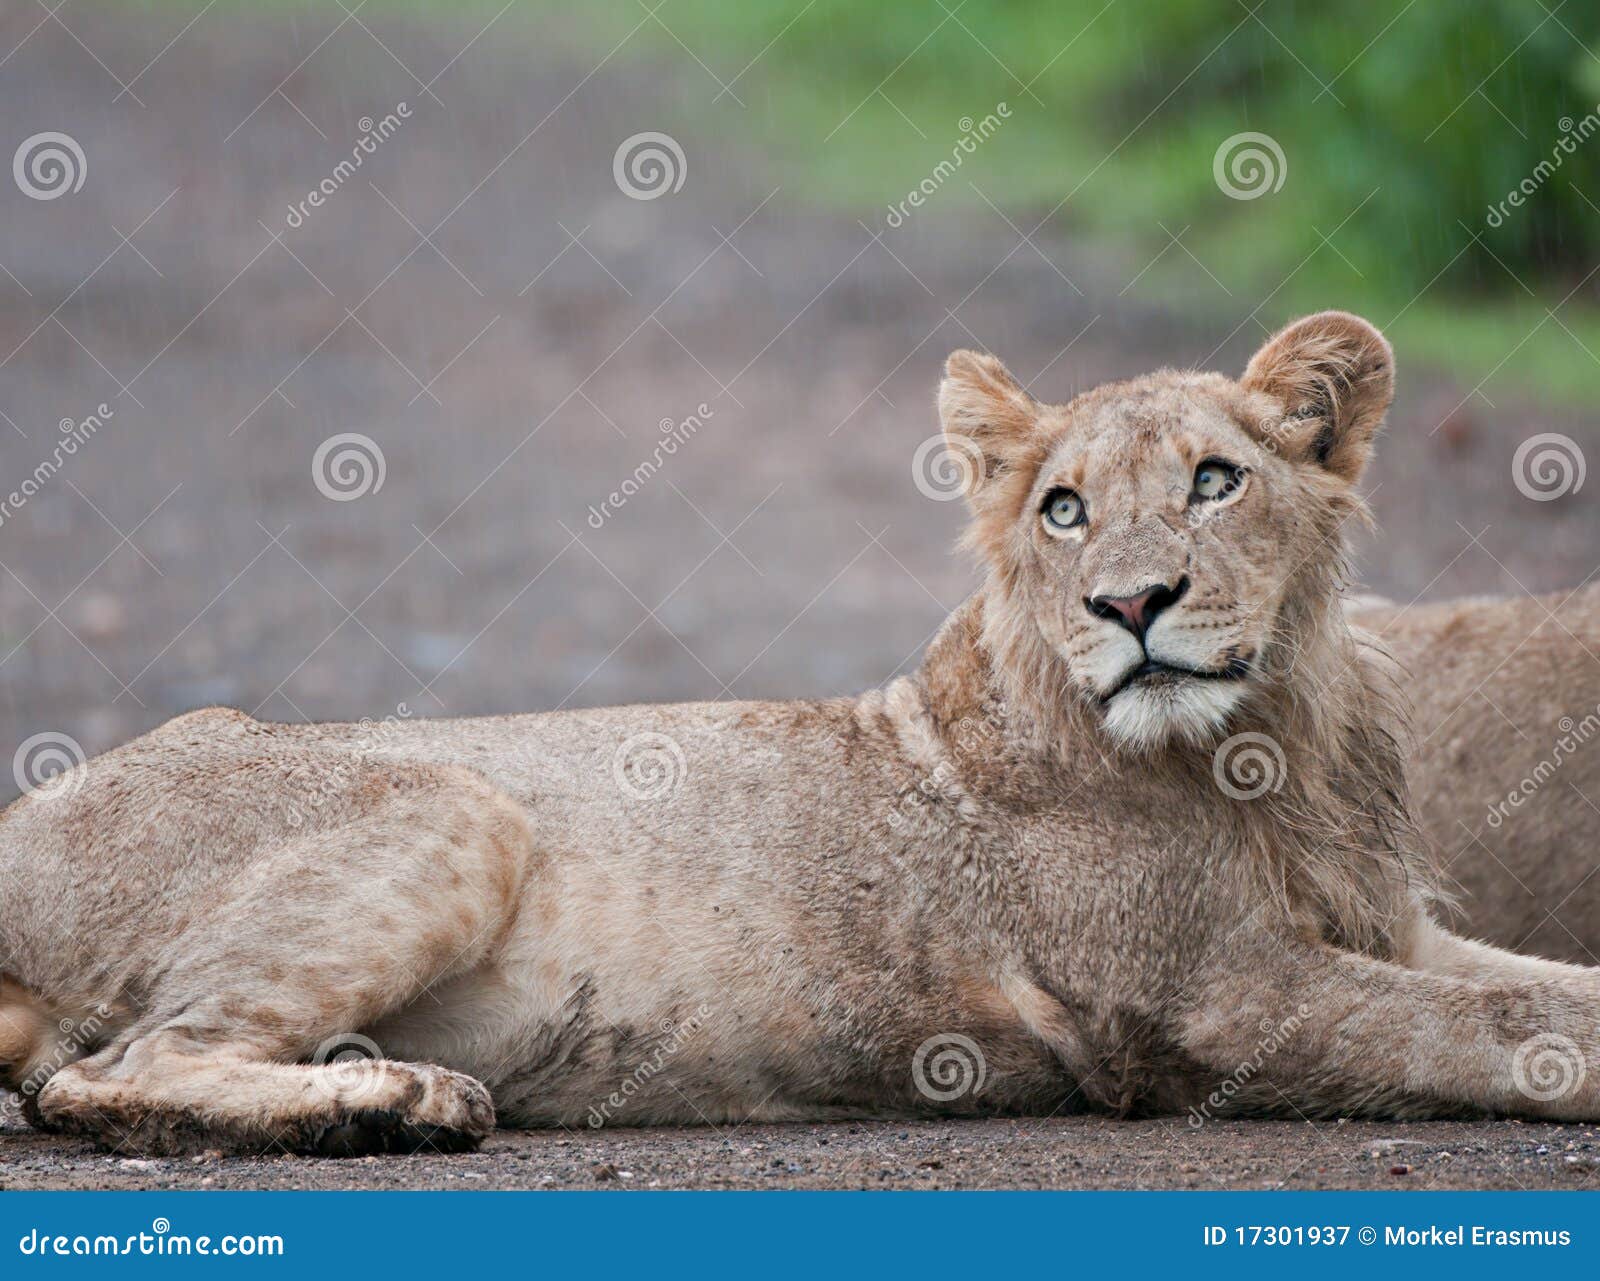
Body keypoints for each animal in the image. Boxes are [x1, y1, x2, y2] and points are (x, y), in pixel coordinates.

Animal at [4, 310, 1600, 1158]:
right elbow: (1495, 1026)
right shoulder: (1205, 1000)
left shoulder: (1385, 925)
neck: (1277, 749)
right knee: (101, 1073)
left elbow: (1537, 984)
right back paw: (399, 1102)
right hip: (464, 808)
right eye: (1063, 510)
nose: (1132, 603)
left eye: (1214, 480)